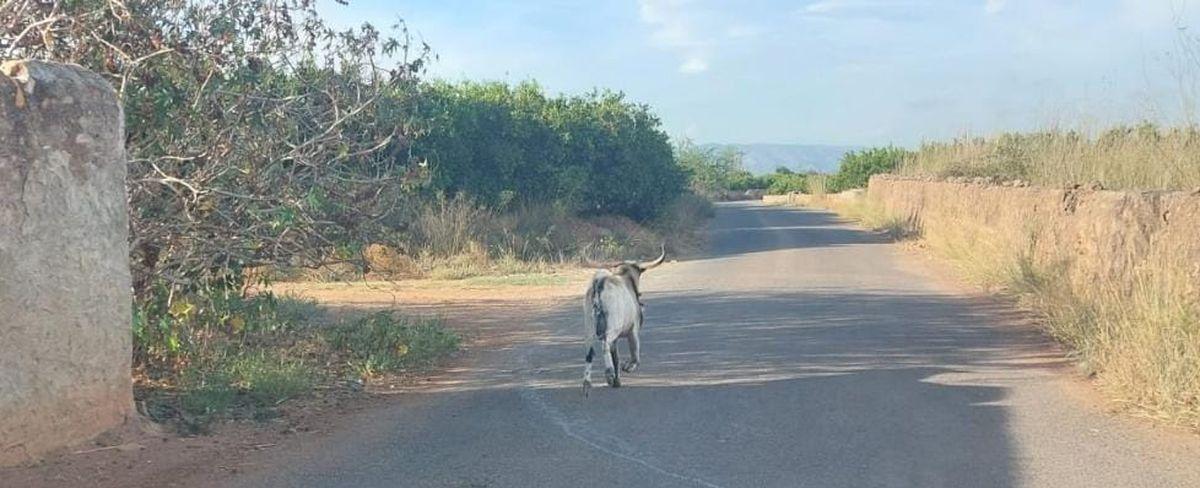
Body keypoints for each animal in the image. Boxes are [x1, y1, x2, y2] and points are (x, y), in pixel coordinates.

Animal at [582, 245, 666, 396]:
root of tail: (599, 283)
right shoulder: (633, 331)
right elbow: (635, 356)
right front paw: (627, 367)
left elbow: (616, 356)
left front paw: (617, 381)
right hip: (612, 328)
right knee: (604, 344)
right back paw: (608, 374)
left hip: (589, 327)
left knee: (589, 352)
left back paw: (587, 382)